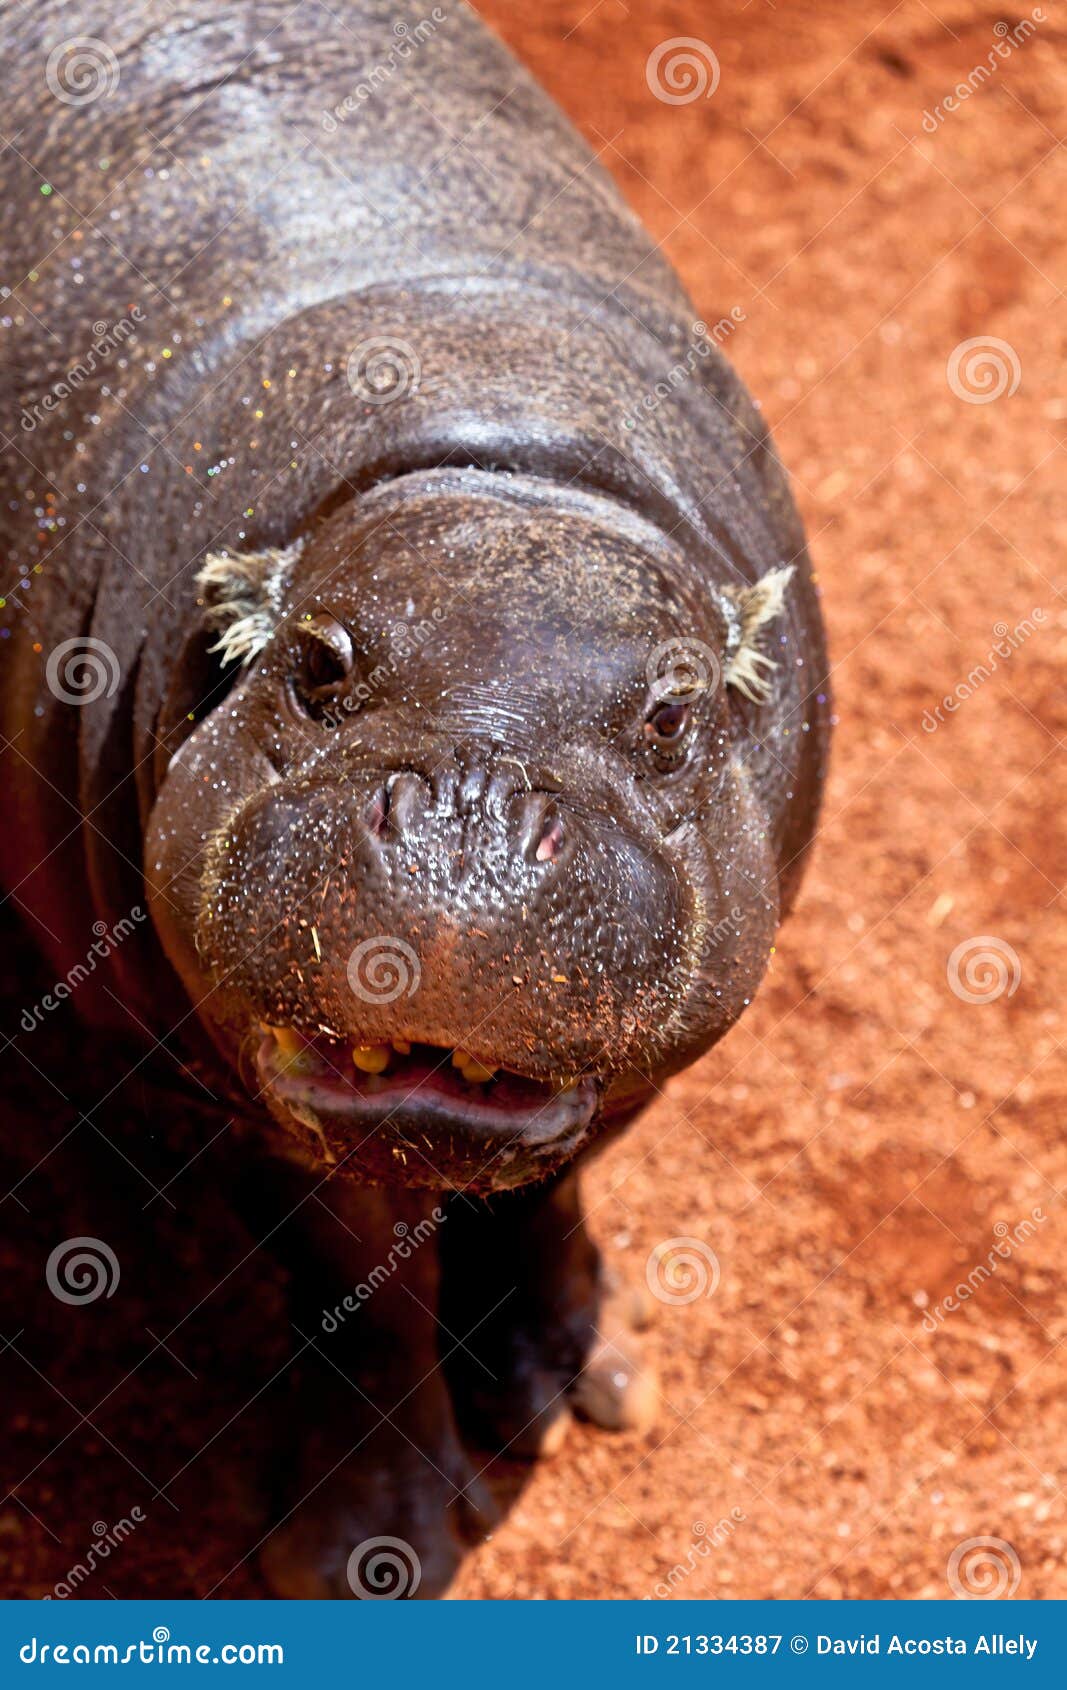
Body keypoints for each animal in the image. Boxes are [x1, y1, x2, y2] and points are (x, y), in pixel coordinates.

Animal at [0, 0, 830, 1597]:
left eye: (673, 713)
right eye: (317, 662)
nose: (468, 823)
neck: (500, 471)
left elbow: (547, 1184)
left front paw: (586, 1380)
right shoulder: (224, 1065)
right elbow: (349, 1271)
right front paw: (359, 1545)